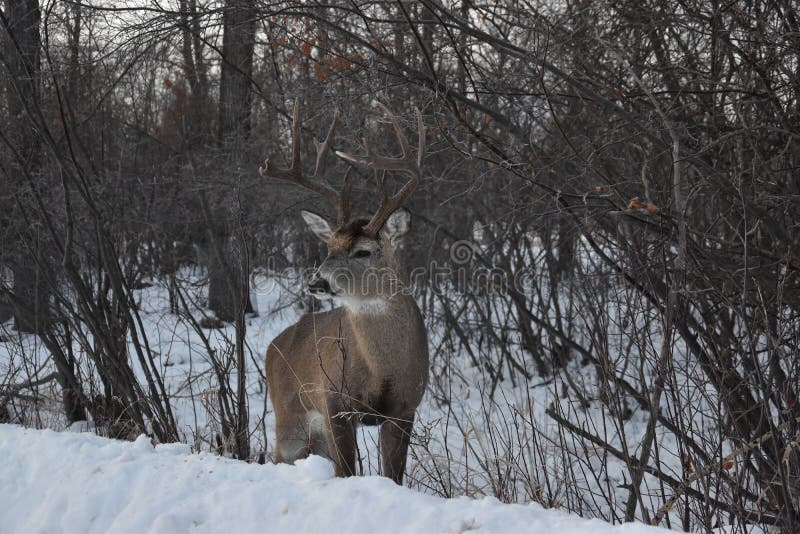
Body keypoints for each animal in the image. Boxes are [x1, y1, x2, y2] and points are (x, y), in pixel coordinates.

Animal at [260, 100, 428, 485]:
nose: (316, 282)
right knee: (274, 458)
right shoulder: (334, 401)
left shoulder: (405, 407)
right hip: (290, 413)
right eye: (329, 247)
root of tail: (274, 346)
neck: (382, 370)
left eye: (363, 252)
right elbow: (347, 471)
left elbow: (393, 474)